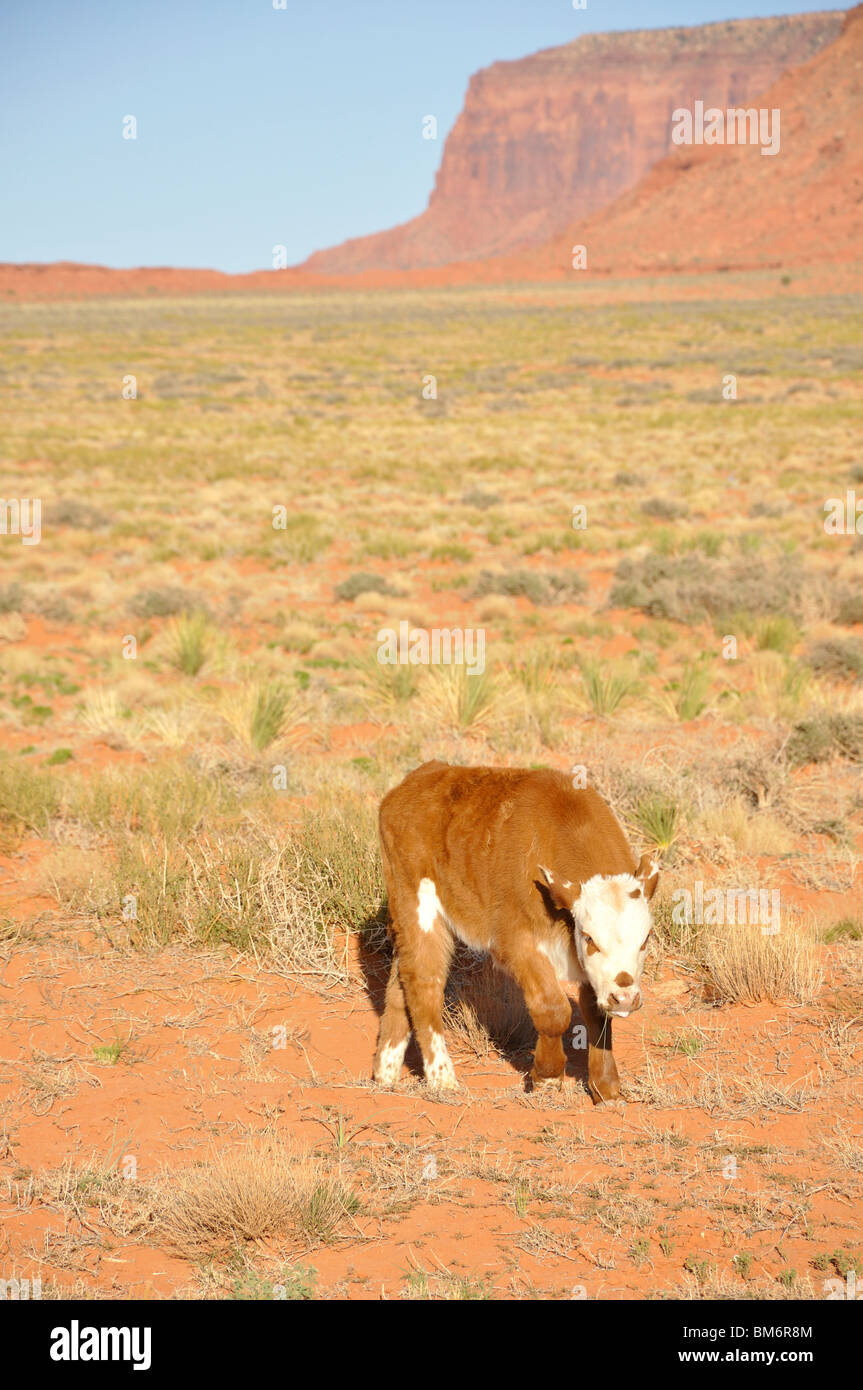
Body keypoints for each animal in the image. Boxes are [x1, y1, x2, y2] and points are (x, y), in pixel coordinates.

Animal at [372, 761, 660, 1103]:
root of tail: (420, 777)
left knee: (399, 979)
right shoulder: (514, 941)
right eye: (589, 938)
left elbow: (596, 1013)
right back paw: (442, 1078)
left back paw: (386, 1072)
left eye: (645, 940)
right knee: (423, 980)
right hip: (415, 901)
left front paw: (607, 1088)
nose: (625, 998)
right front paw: (547, 1076)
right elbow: (552, 1008)